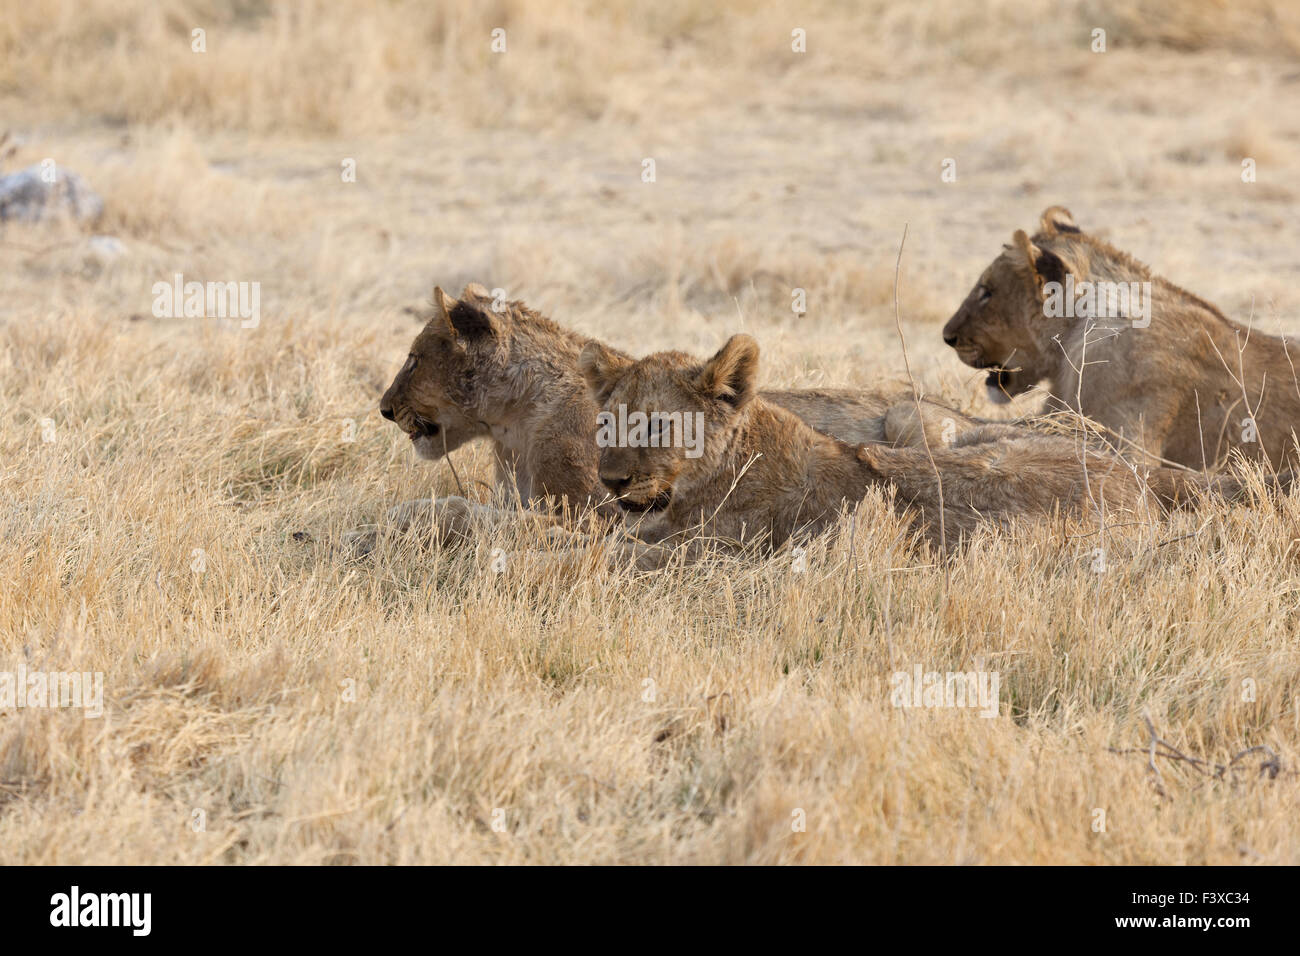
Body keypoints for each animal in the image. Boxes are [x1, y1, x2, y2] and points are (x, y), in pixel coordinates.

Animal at [579, 333, 1202, 561]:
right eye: (607, 423)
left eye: (658, 427)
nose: (610, 481)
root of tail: (1136, 481)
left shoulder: (714, 552)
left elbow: (607, 555)